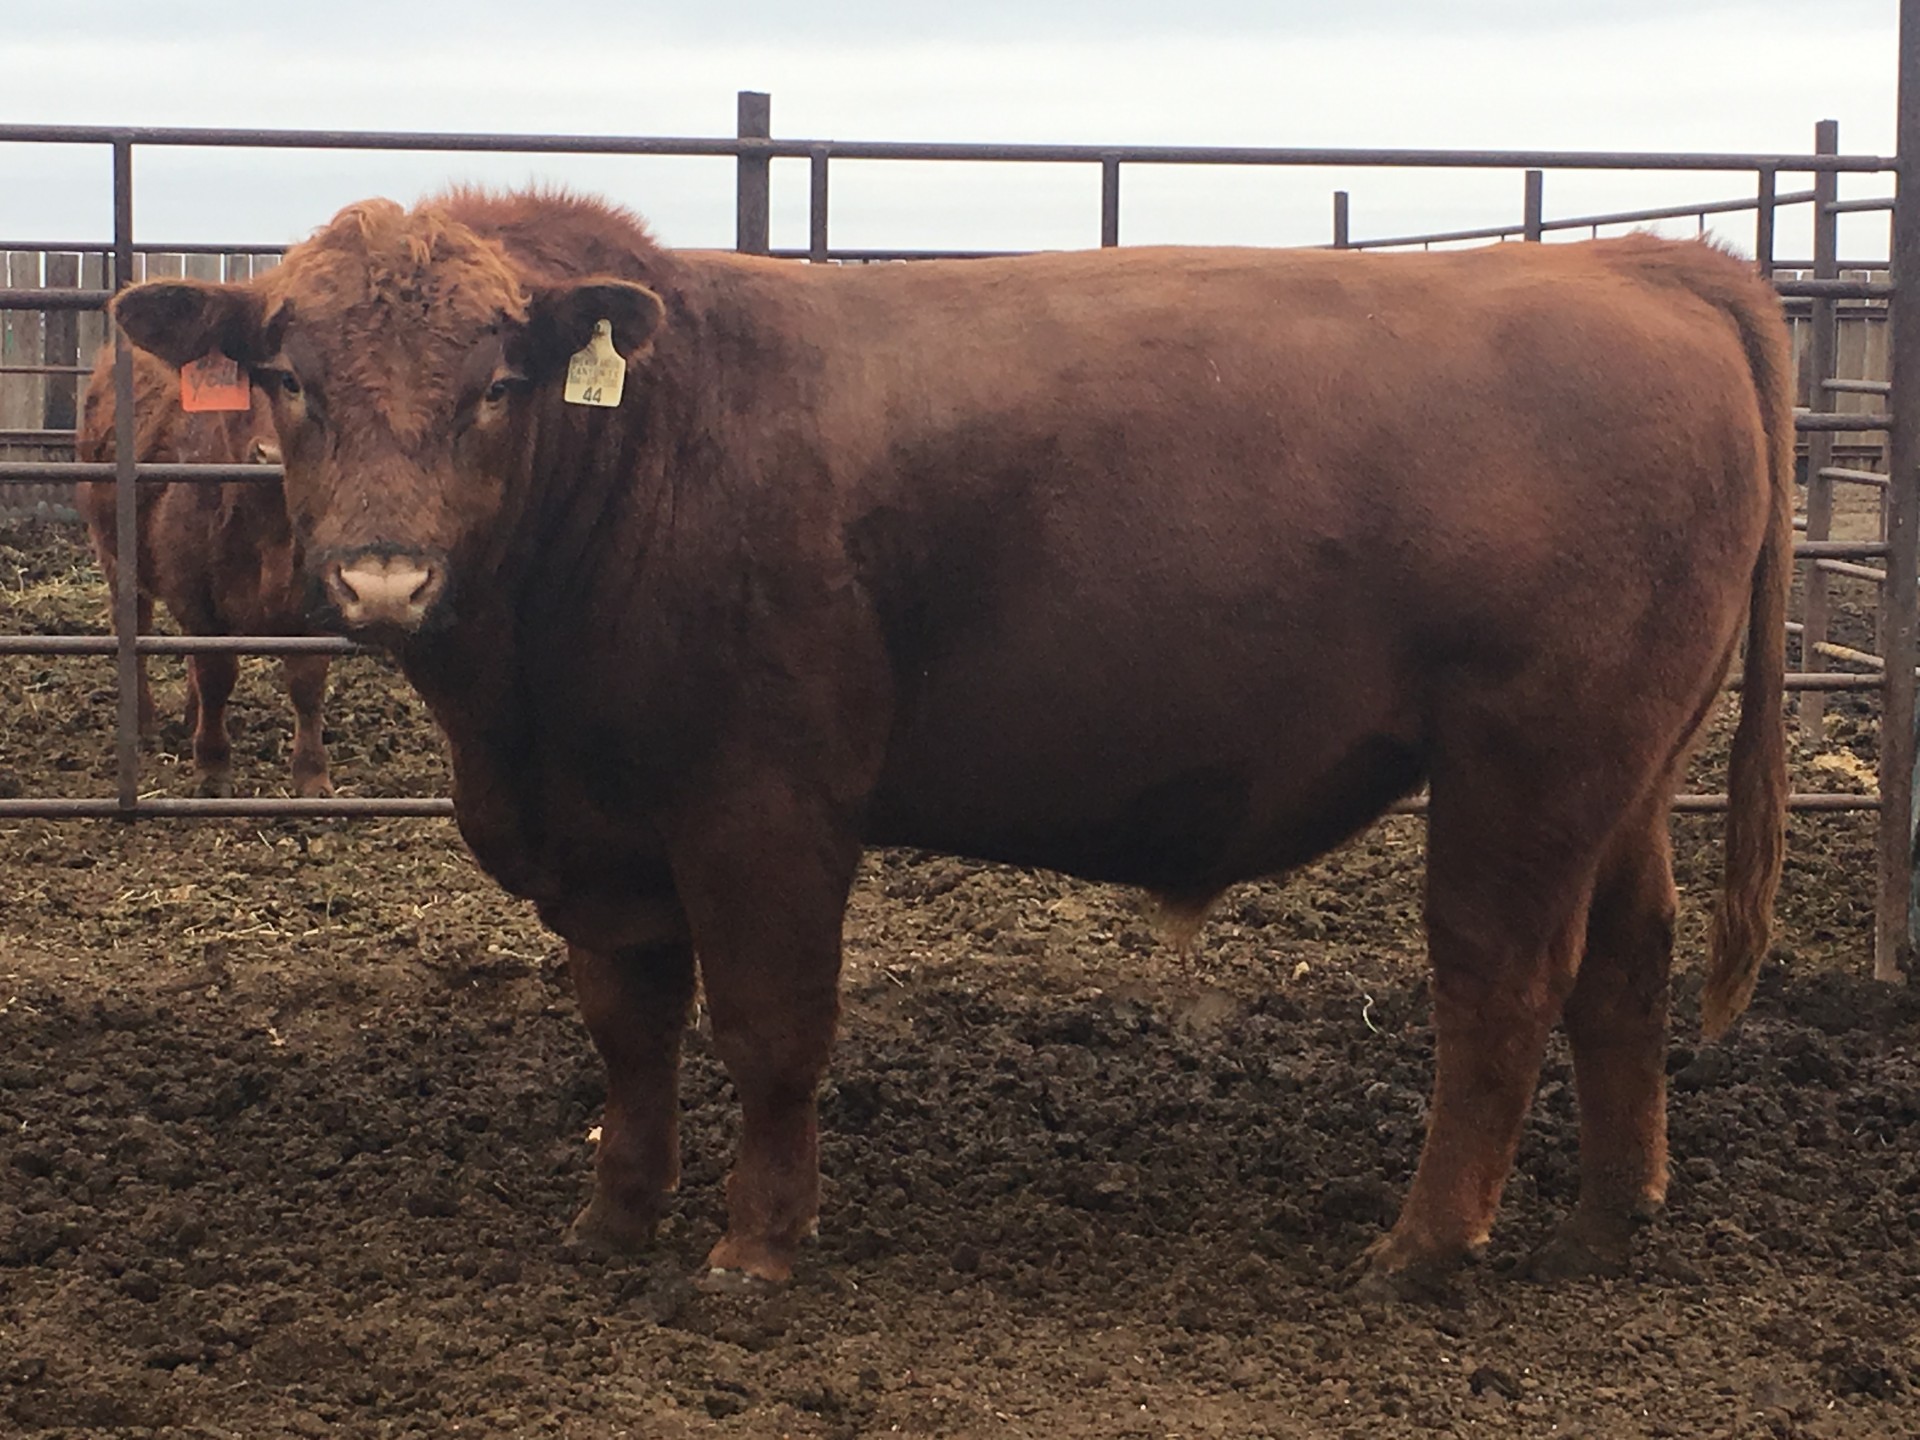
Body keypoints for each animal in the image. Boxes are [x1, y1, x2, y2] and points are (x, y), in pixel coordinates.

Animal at [76, 344, 333, 798]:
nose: (272, 457)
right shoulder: (198, 599)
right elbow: (216, 675)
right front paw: (213, 768)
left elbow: (307, 685)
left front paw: (312, 776)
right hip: (118, 559)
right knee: (134, 626)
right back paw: (145, 724)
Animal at [109, 189, 1791, 1297]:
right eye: (289, 378)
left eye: (499, 382)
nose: (382, 574)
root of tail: (1647, 268)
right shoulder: (605, 829)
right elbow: (629, 1025)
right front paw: (615, 1220)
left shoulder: (766, 803)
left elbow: (770, 1028)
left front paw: (754, 1250)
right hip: (1629, 771)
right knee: (1626, 964)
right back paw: (1607, 1223)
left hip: (1529, 759)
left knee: (1501, 979)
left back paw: (1425, 1248)